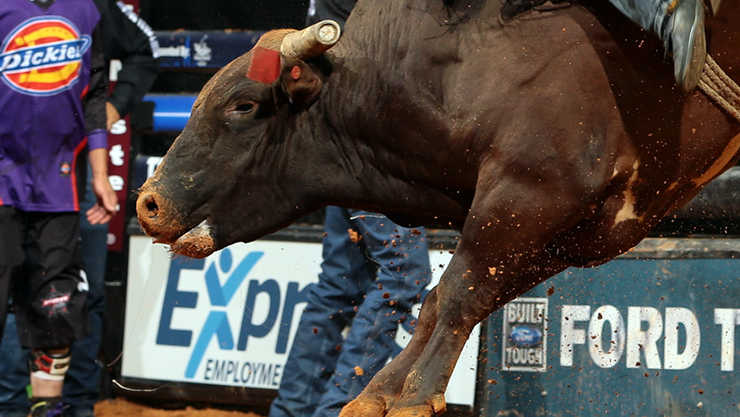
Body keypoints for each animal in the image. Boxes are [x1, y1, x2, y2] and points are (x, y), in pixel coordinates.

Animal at [136, 1, 740, 416]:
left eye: (242, 105)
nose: (148, 203)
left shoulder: (532, 191)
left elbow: (459, 293)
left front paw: (413, 396)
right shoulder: (573, 229)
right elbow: (446, 298)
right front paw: (376, 394)